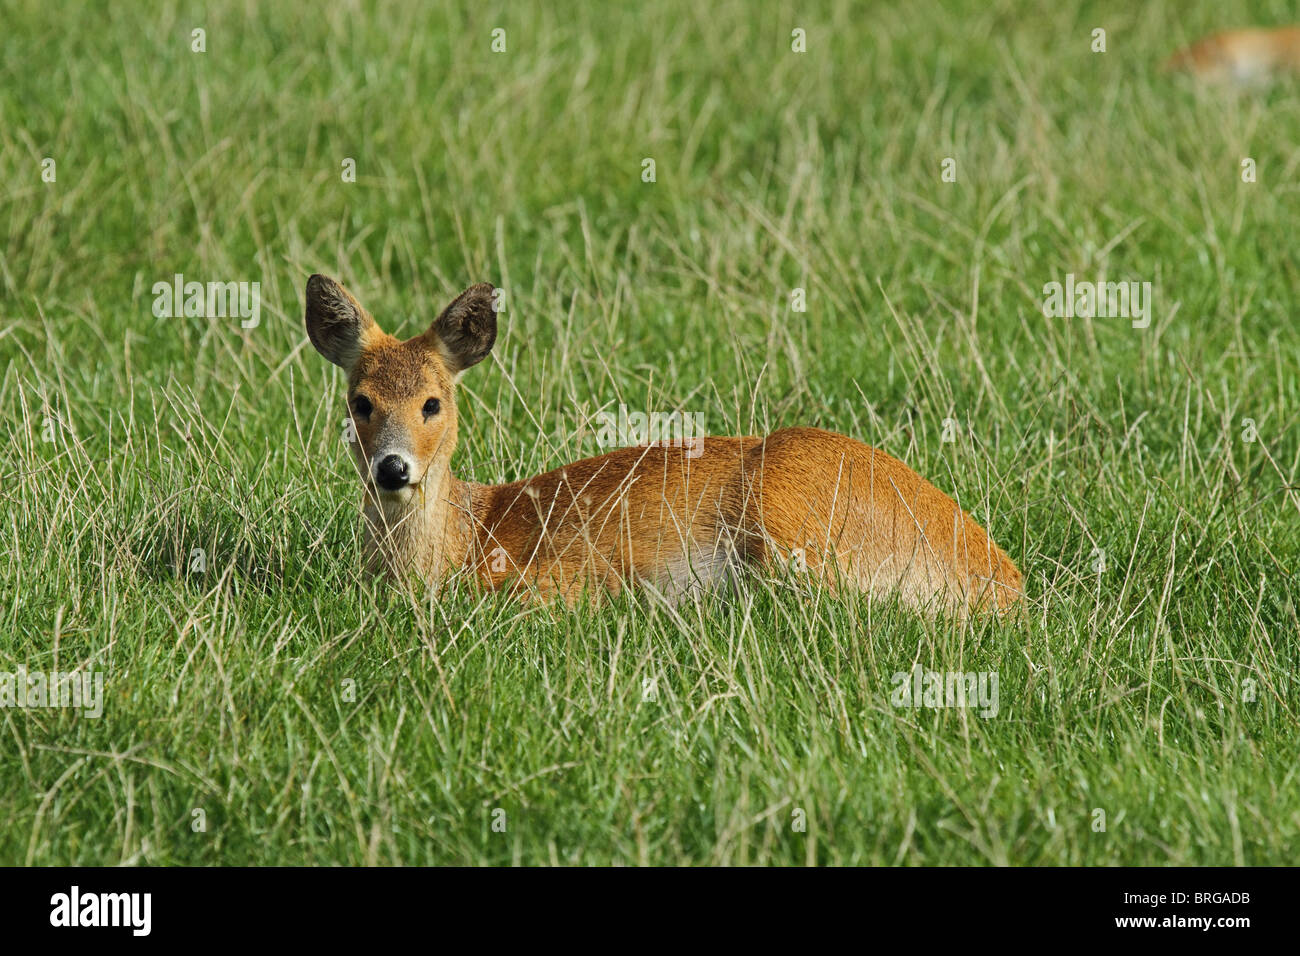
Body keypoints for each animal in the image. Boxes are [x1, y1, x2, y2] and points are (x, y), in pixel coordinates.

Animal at [304, 274, 1023, 616]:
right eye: (360, 401)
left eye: (433, 402)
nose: (393, 468)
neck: (462, 540)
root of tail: (1007, 585)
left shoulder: (547, 582)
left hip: (791, 513)